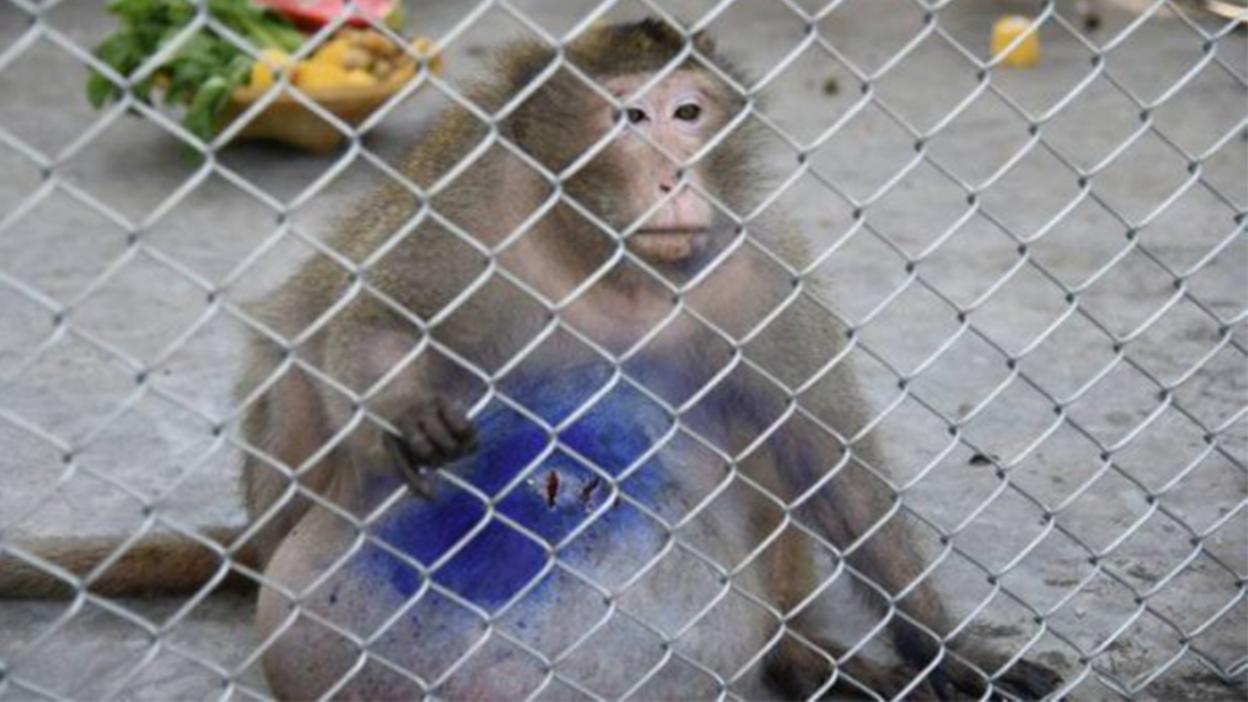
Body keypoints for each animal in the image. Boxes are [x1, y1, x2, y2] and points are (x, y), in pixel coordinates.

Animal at [0, 19, 1063, 700]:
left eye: (689, 114)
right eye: (629, 120)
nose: (674, 178)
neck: (605, 260)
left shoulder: (753, 271)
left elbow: (824, 462)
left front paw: (946, 649)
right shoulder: (472, 217)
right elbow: (365, 322)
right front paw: (408, 406)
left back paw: (796, 656)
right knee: (302, 359)